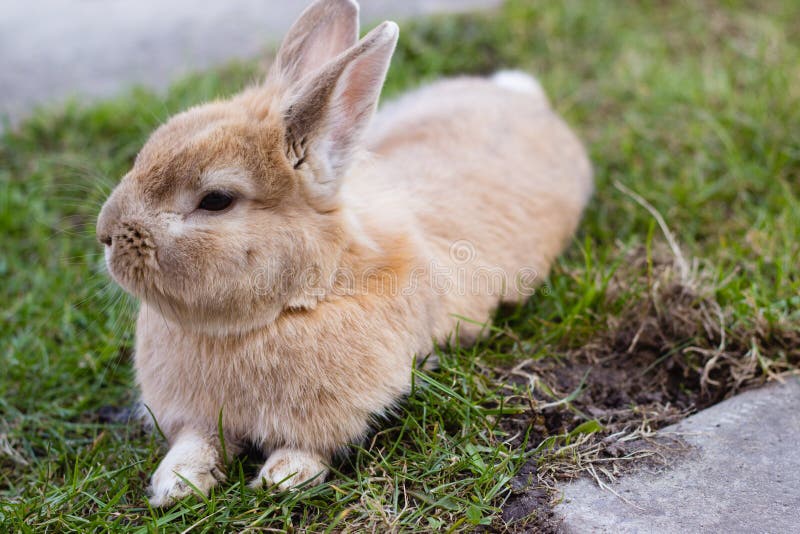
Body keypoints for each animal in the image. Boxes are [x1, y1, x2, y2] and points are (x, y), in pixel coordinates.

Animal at [96, 0, 592, 507]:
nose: (106, 235)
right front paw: (174, 484)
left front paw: (283, 479)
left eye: (216, 200)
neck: (298, 301)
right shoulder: (196, 418)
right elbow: (195, 441)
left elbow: (306, 447)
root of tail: (525, 99)